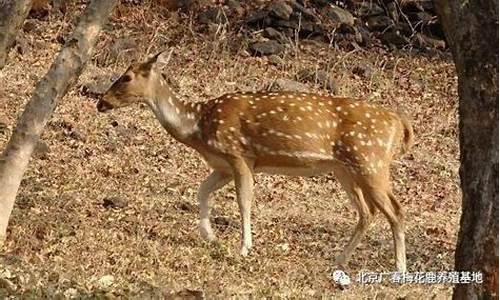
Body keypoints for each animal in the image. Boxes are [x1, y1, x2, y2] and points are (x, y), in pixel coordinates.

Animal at [96, 51, 414, 272]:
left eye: (126, 76)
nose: (101, 102)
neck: (198, 126)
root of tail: (399, 124)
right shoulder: (222, 165)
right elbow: (202, 191)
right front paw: (210, 236)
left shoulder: (239, 155)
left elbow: (244, 201)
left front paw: (244, 248)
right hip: (345, 170)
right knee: (367, 212)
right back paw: (338, 260)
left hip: (370, 162)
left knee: (395, 210)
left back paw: (399, 268)